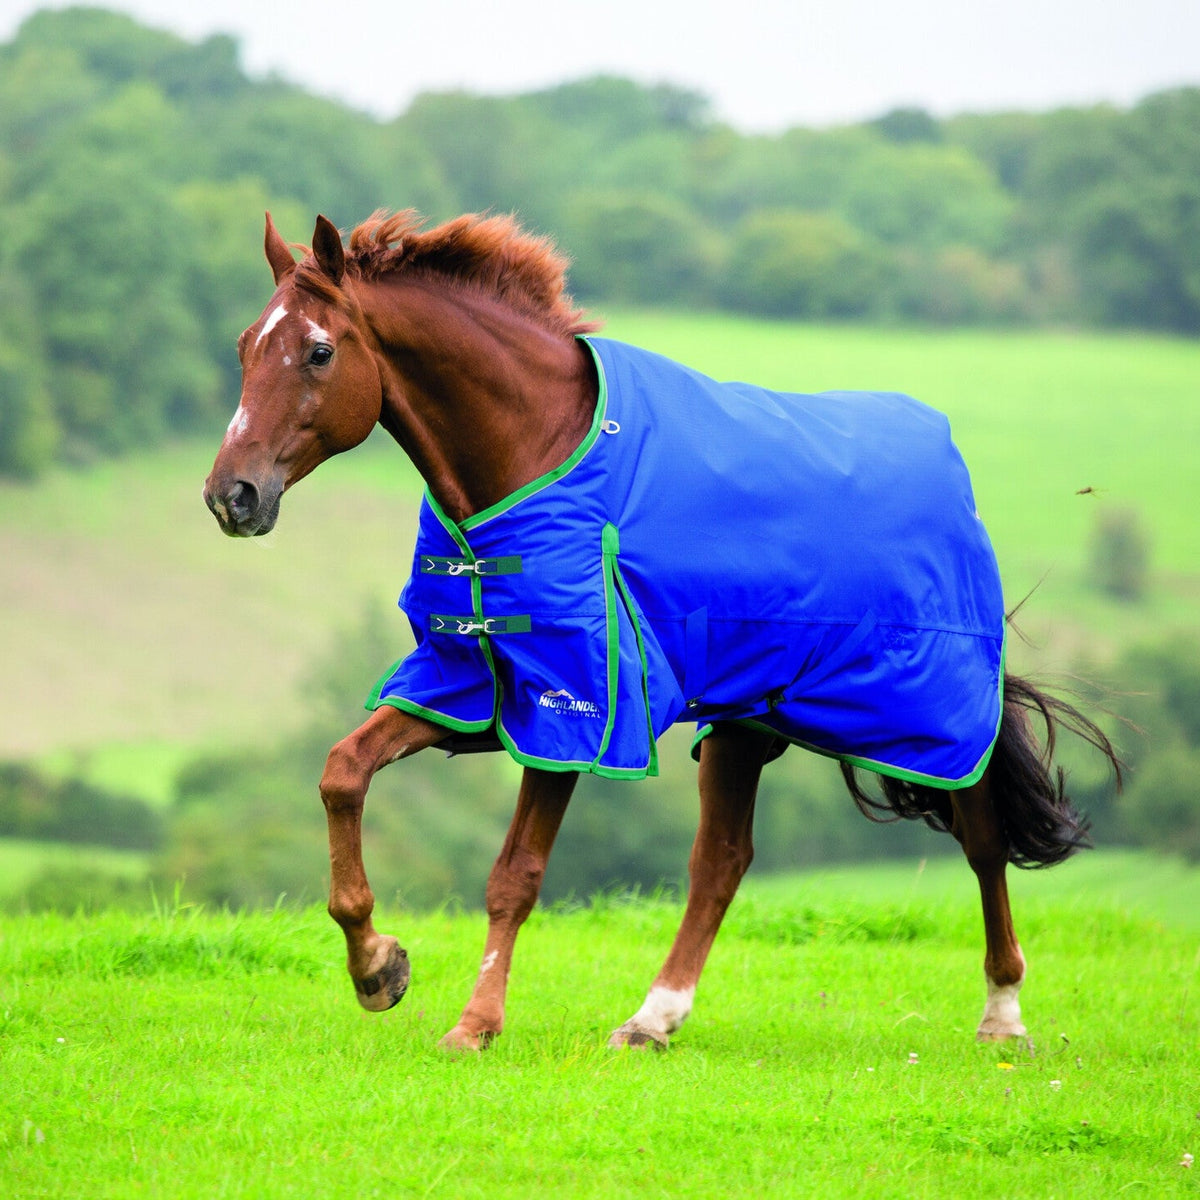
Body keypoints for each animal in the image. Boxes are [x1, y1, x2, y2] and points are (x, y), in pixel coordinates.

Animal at [204, 210, 1120, 1051]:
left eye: (319, 351)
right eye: (247, 344)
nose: (231, 495)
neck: (537, 453)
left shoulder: (576, 703)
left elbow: (515, 875)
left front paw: (475, 1023)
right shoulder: (468, 686)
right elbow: (343, 774)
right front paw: (378, 967)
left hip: (928, 712)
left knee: (982, 836)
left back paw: (1003, 1013)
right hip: (750, 717)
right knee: (722, 862)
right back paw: (654, 1018)